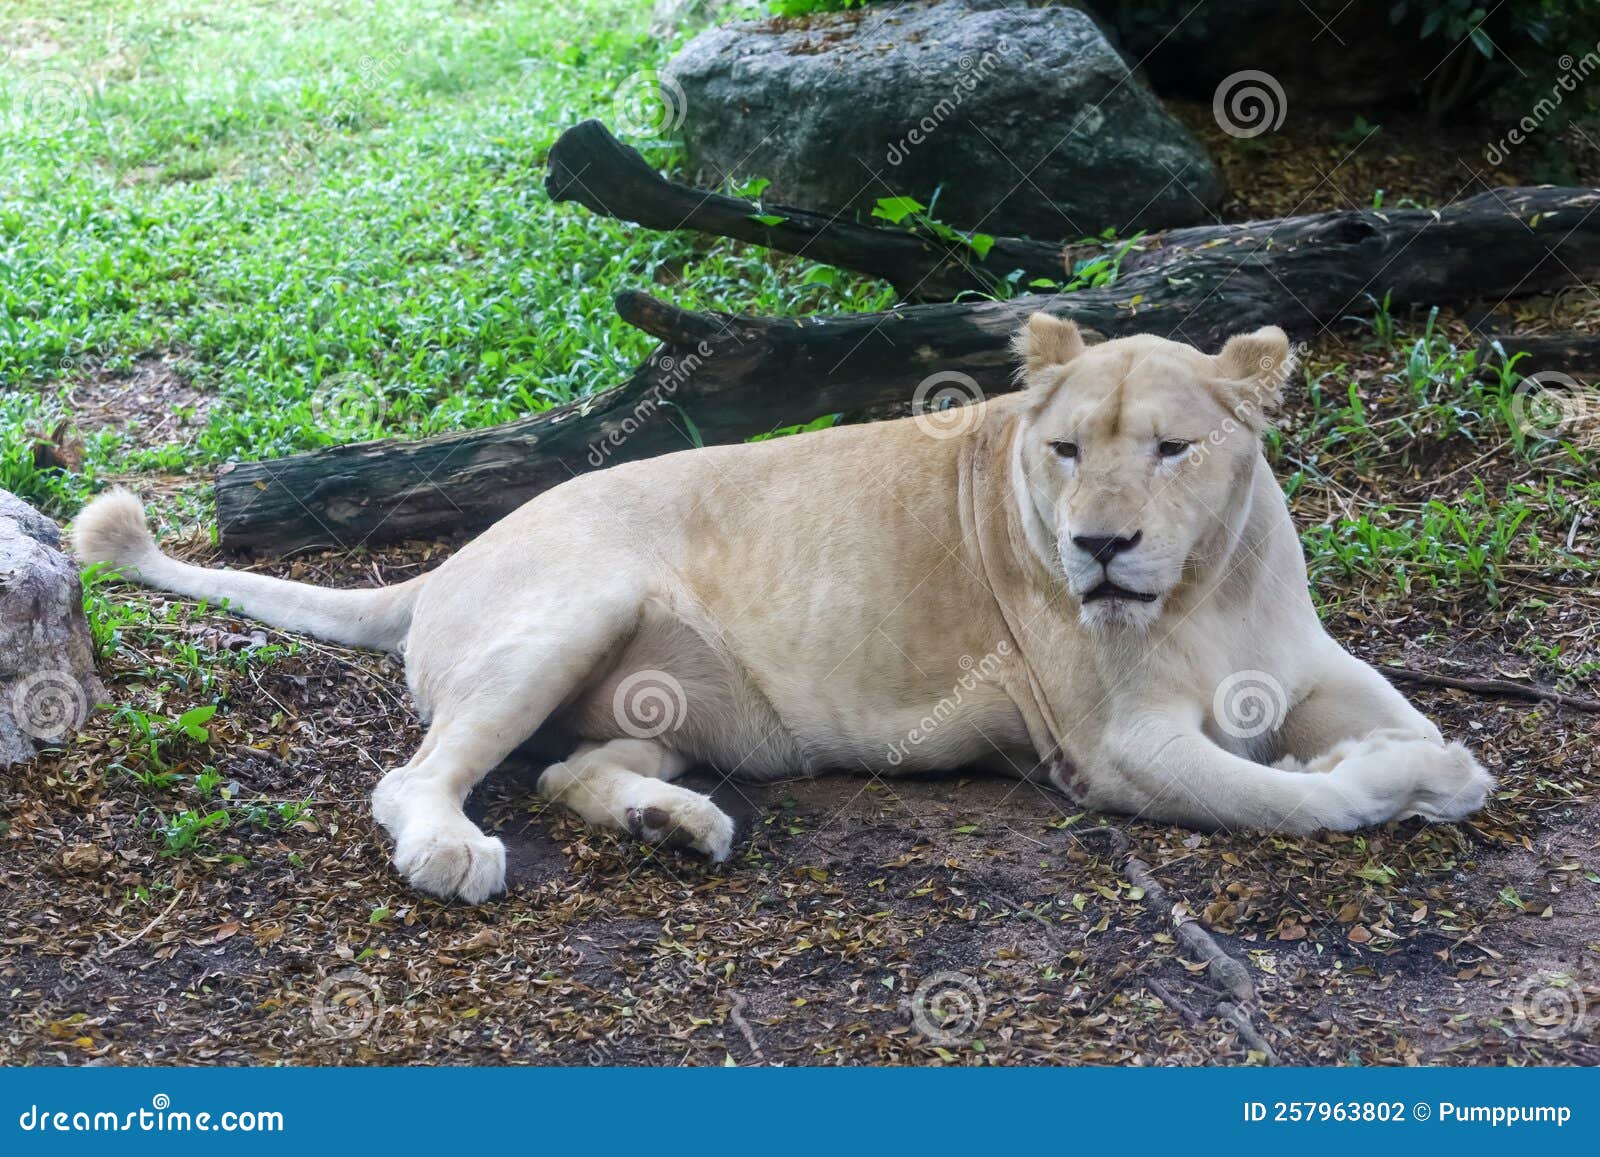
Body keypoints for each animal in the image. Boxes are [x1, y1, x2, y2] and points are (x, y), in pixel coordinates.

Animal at [74, 315, 1493, 902]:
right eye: (1064, 451)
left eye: (1172, 450)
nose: (1099, 547)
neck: (1203, 584)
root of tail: (456, 551)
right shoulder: (1114, 746)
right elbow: (1293, 801)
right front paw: (1378, 780)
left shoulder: (1302, 658)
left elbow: (1404, 720)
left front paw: (1436, 759)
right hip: (571, 609)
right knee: (417, 776)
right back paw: (451, 852)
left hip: (672, 704)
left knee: (568, 771)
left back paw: (674, 822)